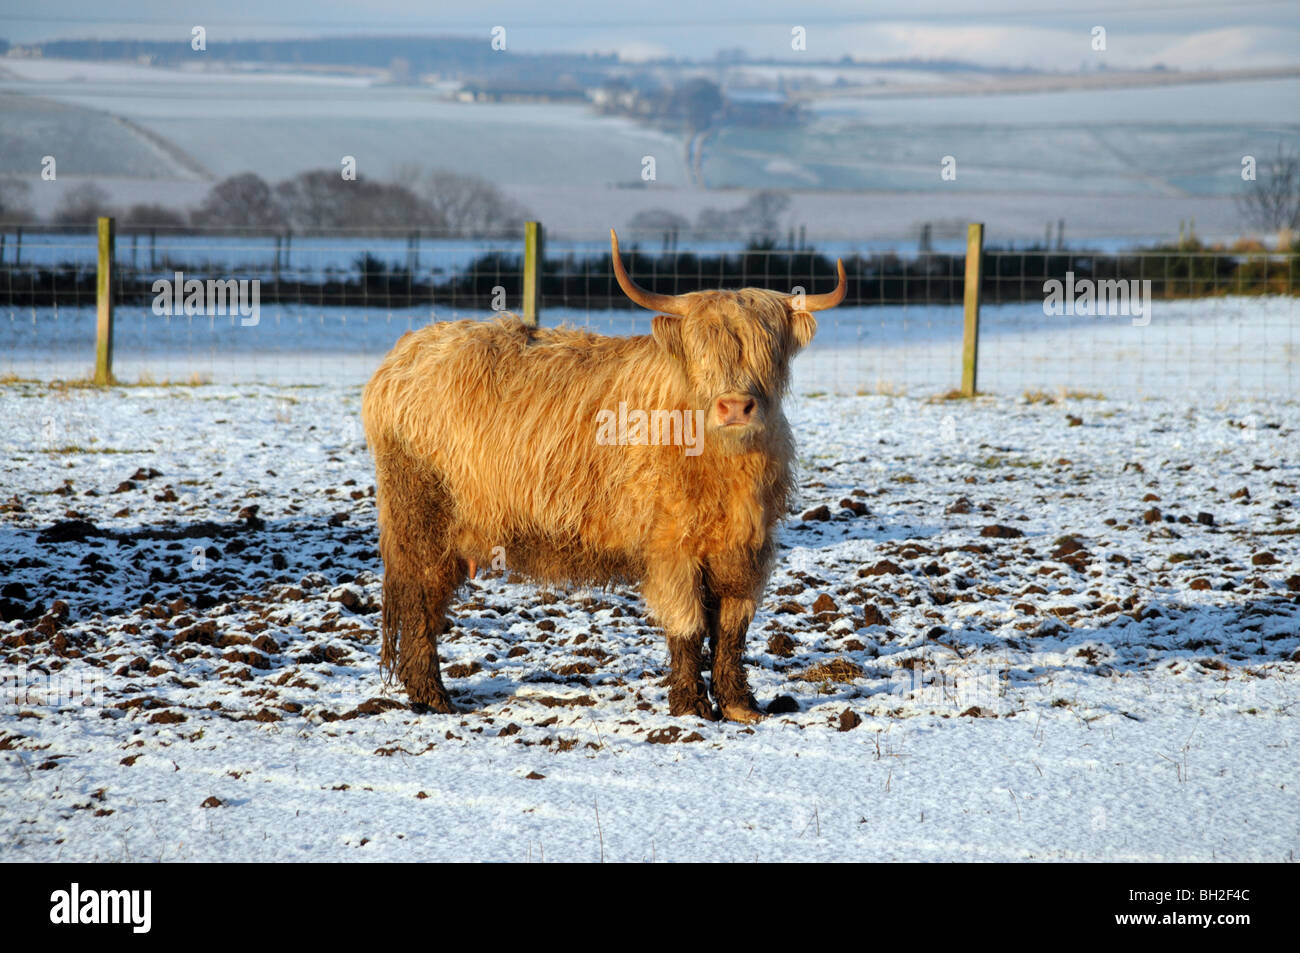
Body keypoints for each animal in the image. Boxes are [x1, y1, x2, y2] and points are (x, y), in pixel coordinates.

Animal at [361, 230, 845, 722]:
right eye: (700, 350)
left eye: (767, 349)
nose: (735, 407)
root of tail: (406, 351)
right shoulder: (670, 547)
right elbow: (687, 624)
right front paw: (691, 705)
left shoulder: (745, 551)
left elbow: (731, 628)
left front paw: (739, 704)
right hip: (422, 515)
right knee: (420, 601)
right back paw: (432, 696)